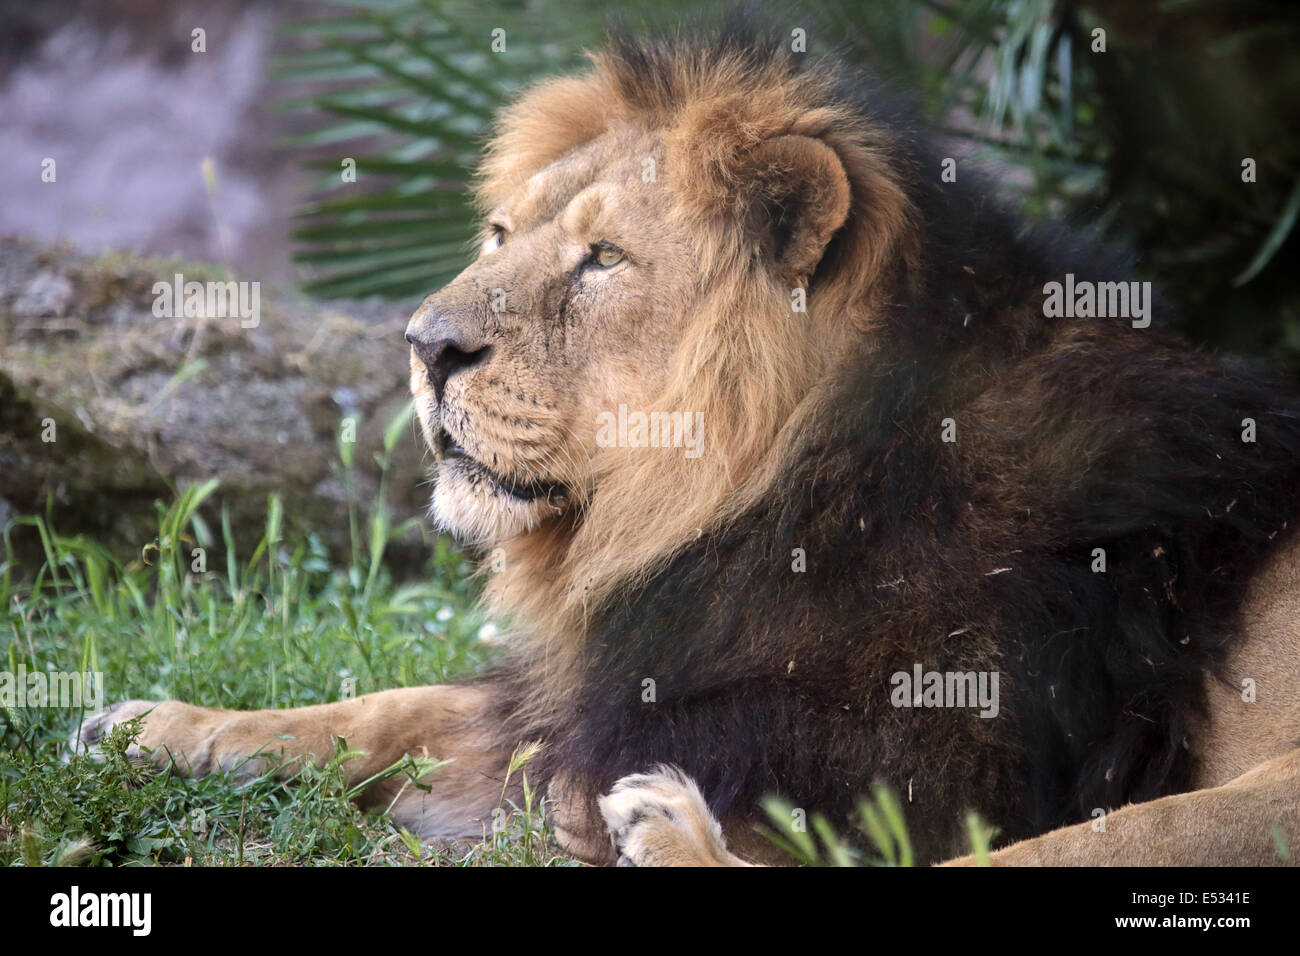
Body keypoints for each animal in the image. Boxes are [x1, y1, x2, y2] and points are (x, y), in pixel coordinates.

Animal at [78, 23, 1300, 866]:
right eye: (499, 234)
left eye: (604, 259)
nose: (423, 345)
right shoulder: (609, 691)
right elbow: (391, 706)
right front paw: (152, 724)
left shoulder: (912, 757)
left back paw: (666, 831)